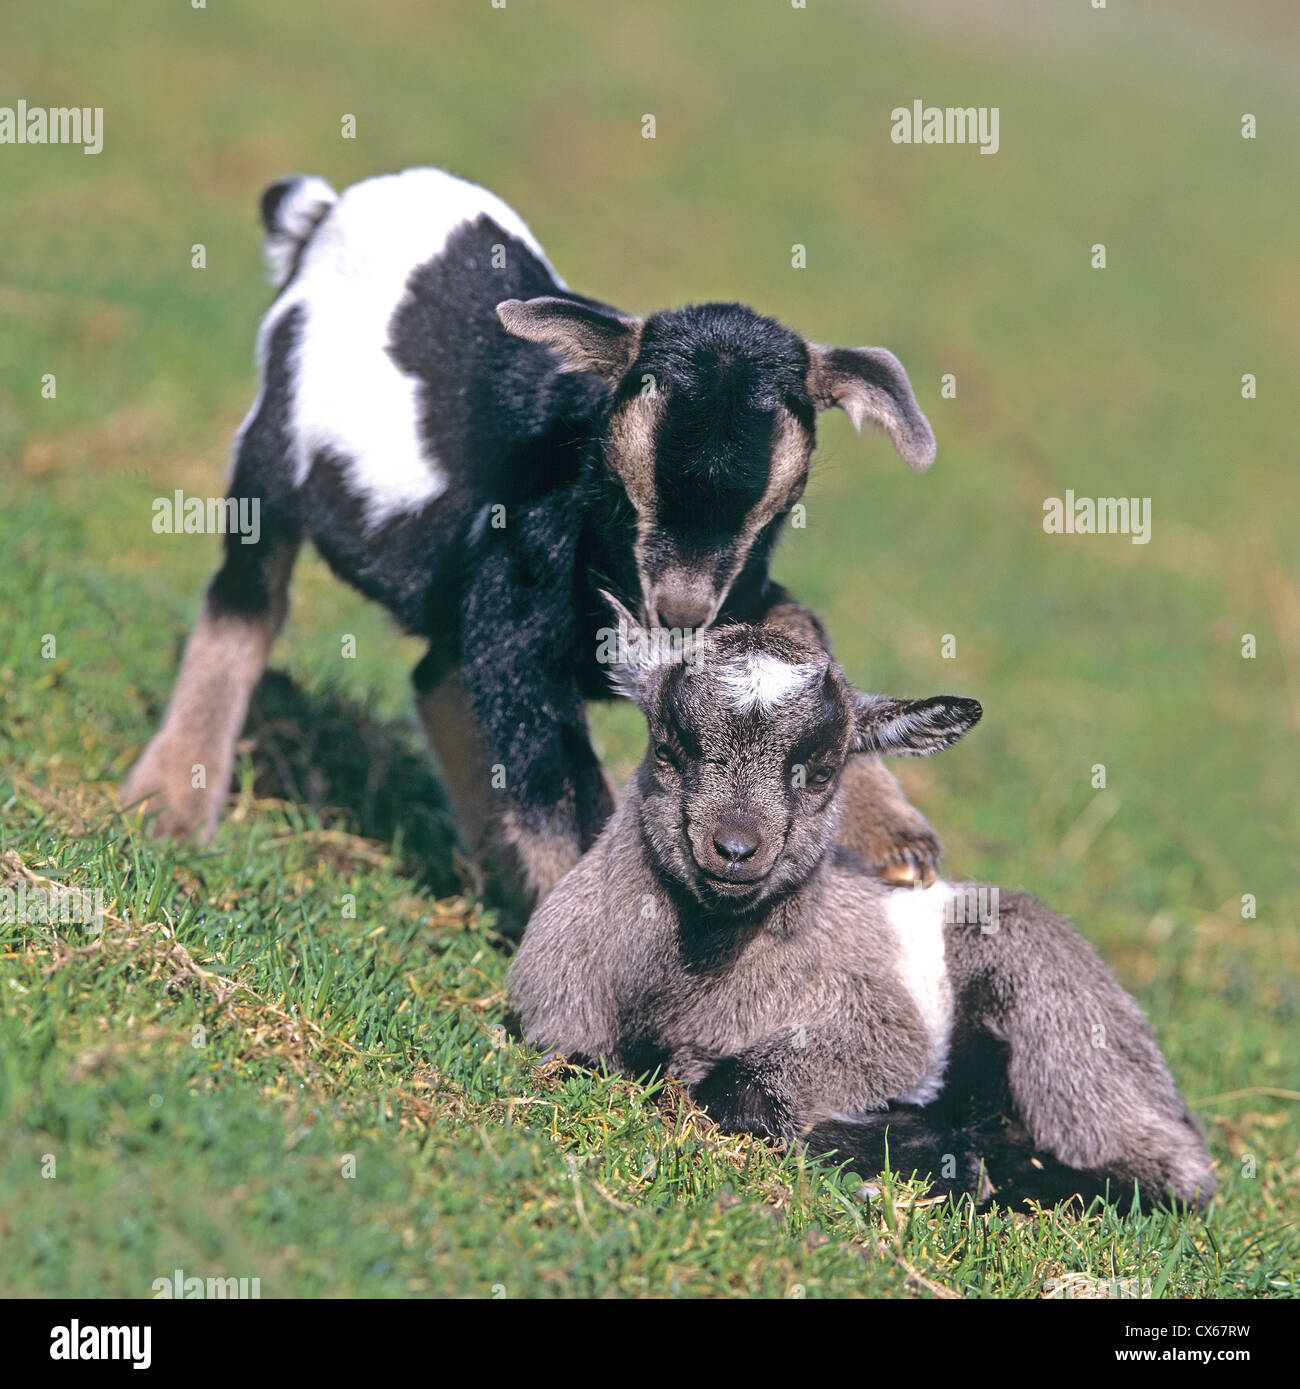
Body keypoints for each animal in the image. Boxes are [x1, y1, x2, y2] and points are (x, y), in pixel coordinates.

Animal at [122, 167, 945, 903]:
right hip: (271, 458)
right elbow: (559, 791)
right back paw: (167, 805)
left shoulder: (735, 595)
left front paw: (899, 843)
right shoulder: (518, 611)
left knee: (436, 675)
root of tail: (325, 210)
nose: (678, 612)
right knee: (246, 603)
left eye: (769, 501)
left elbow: (799, 637)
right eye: (630, 481)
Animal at [509, 605, 1216, 1209]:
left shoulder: (880, 1028)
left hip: (1054, 1009)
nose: (735, 849)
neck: (675, 986)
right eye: (668, 749)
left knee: (1167, 1171)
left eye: (821, 775)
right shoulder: (555, 1016)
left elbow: (738, 1091)